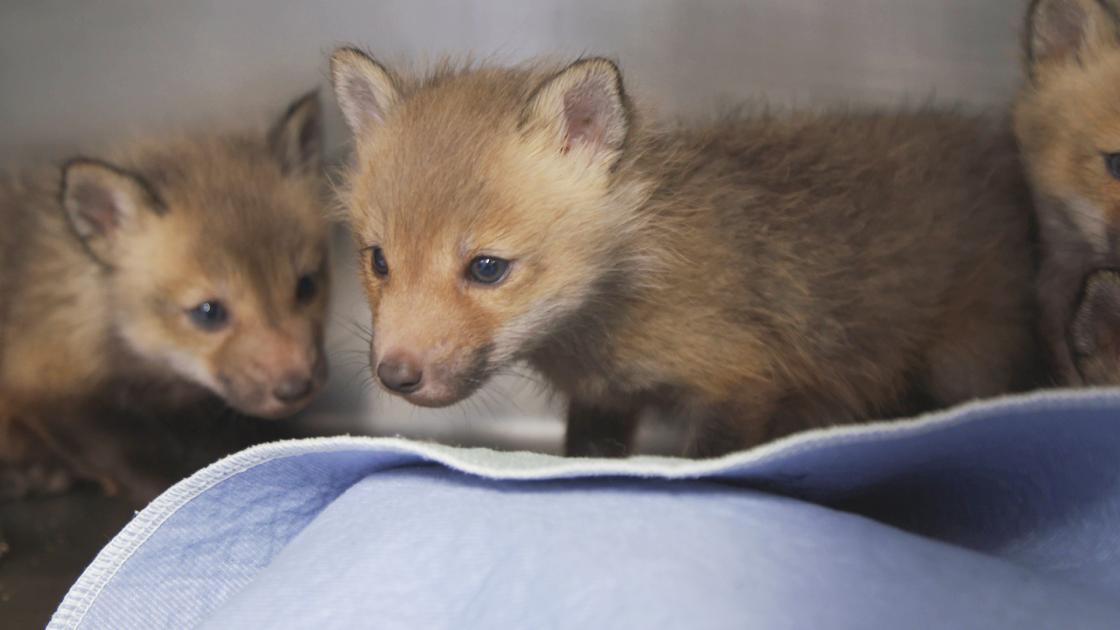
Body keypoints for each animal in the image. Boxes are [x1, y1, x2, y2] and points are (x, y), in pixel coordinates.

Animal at [329, 48, 1041, 458]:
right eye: (379, 261)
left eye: (486, 268)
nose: (395, 374)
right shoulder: (604, 400)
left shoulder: (739, 379)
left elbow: (706, 464)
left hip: (965, 361)